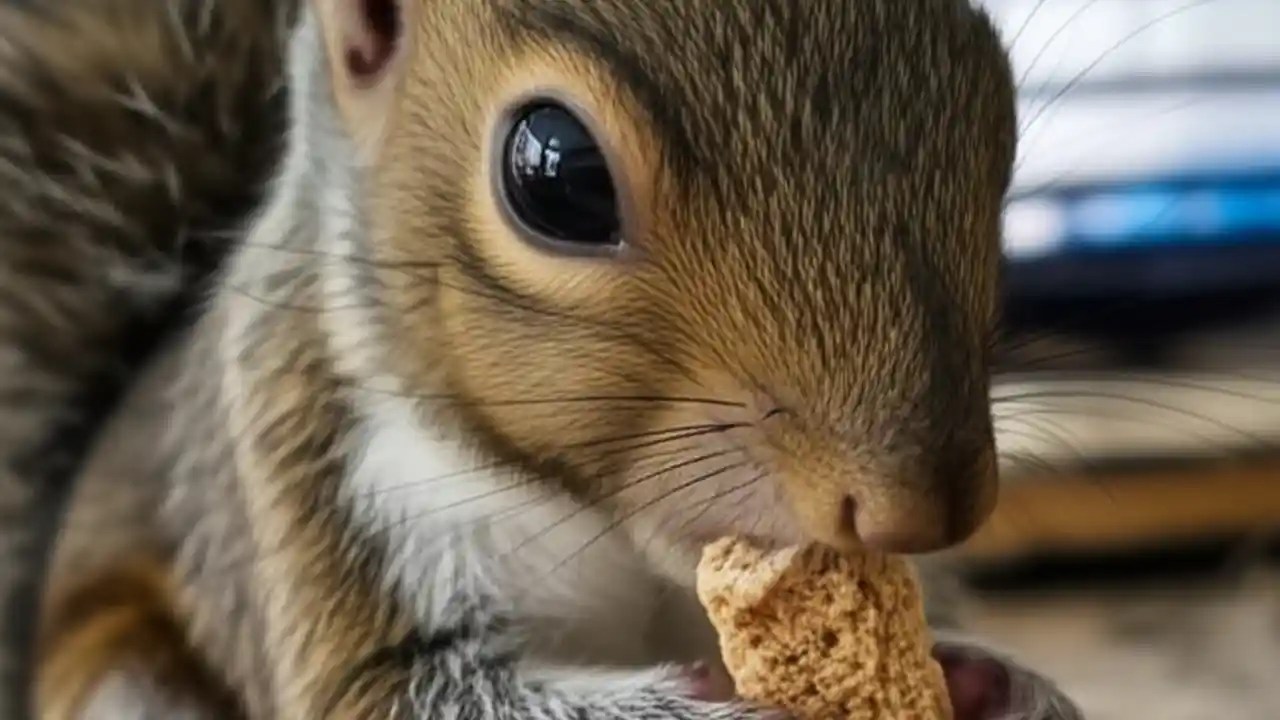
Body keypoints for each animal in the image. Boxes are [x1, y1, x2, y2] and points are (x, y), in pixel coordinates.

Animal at [0, 0, 1086, 718]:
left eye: (993, 102)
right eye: (558, 175)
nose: (921, 511)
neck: (589, 517)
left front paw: (993, 681)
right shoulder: (304, 465)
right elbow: (389, 690)